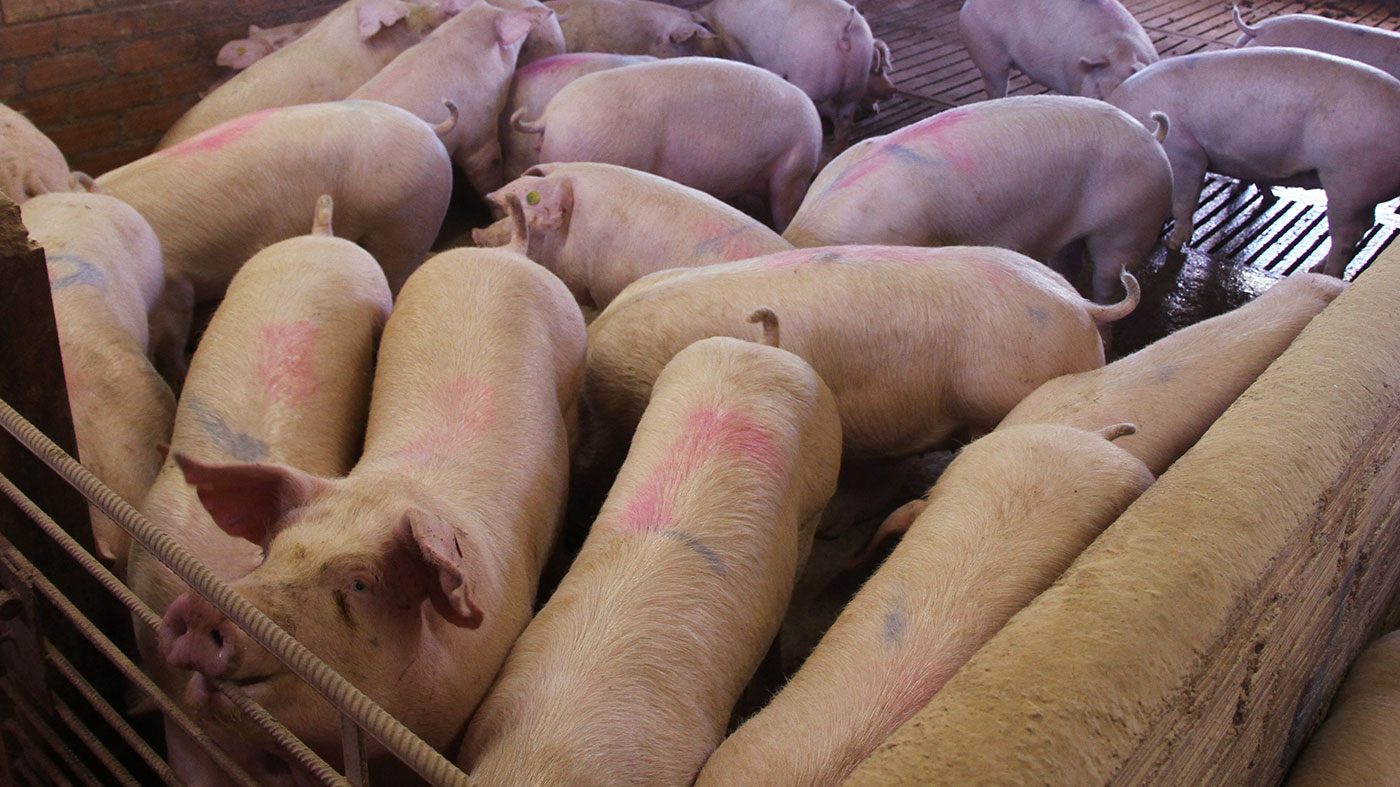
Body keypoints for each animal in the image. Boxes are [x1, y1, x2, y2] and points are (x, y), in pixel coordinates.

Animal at [697, 0, 891, 150]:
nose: (893, 90)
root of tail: (844, 31)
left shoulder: (736, 47)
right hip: (855, 84)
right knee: (843, 126)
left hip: (811, 77)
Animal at [1106, 47, 1400, 278]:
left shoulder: (1187, 156)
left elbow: (1184, 204)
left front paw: (1173, 243)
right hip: (1360, 189)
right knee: (1364, 227)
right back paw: (1317, 268)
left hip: (1348, 180)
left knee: (1347, 236)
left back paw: (1325, 274)